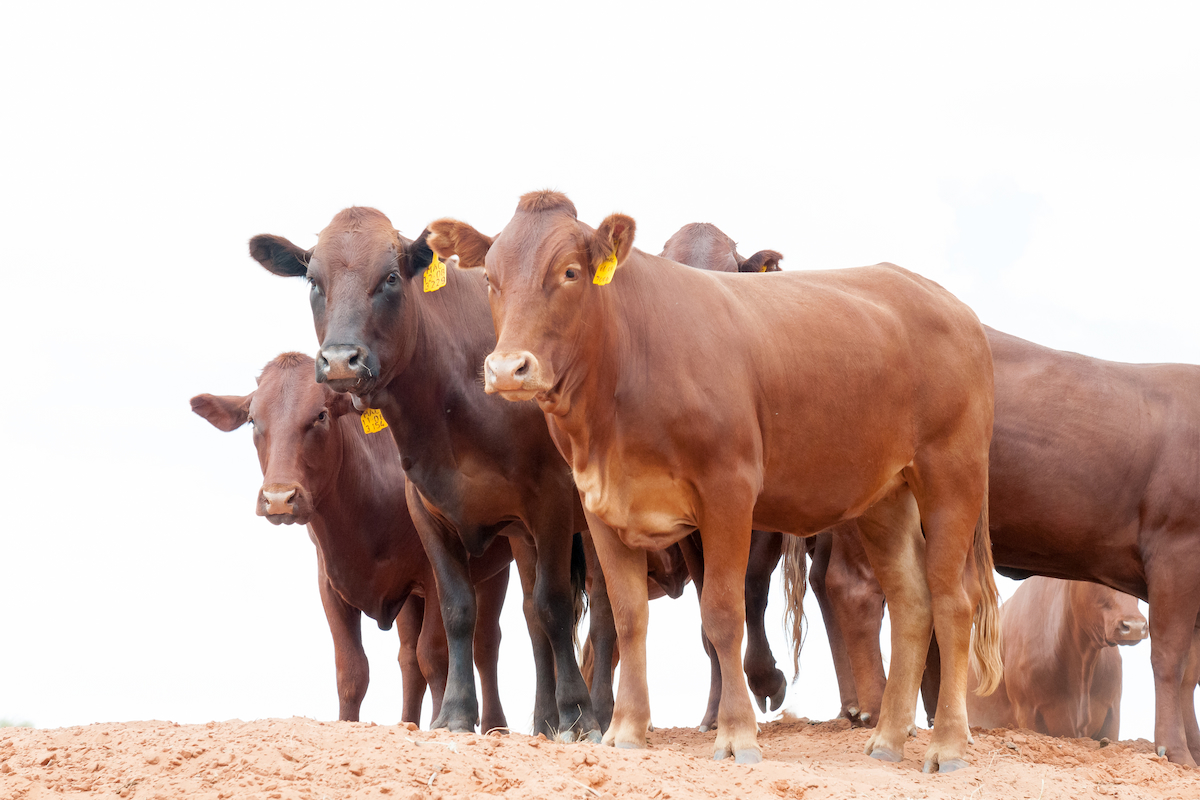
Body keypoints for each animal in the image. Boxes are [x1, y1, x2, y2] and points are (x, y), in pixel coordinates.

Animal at [191, 353, 512, 729]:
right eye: (253, 420)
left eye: (320, 415)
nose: (279, 498)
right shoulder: (330, 583)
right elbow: (352, 671)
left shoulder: (435, 576)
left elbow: (435, 657)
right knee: (408, 658)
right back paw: (407, 722)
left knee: (485, 644)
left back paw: (495, 727)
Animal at [247, 209, 602, 741]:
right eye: (313, 281)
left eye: (391, 277)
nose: (340, 360)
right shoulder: (431, 511)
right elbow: (458, 614)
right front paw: (454, 714)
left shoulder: (552, 502)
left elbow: (555, 604)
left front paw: (579, 716)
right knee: (530, 618)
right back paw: (543, 718)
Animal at [424, 191, 1001, 772]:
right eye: (491, 278)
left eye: (569, 271)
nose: (507, 369)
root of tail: (949, 304)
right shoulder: (600, 505)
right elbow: (629, 616)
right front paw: (626, 729)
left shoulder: (729, 493)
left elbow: (723, 614)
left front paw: (737, 734)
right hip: (886, 496)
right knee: (911, 603)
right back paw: (887, 739)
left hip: (952, 475)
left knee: (953, 601)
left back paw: (948, 744)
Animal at [784, 325, 1200, 763]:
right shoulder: (1177, 551)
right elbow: (1171, 659)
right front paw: (1176, 750)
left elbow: (1190, 673)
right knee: (856, 591)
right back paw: (880, 710)